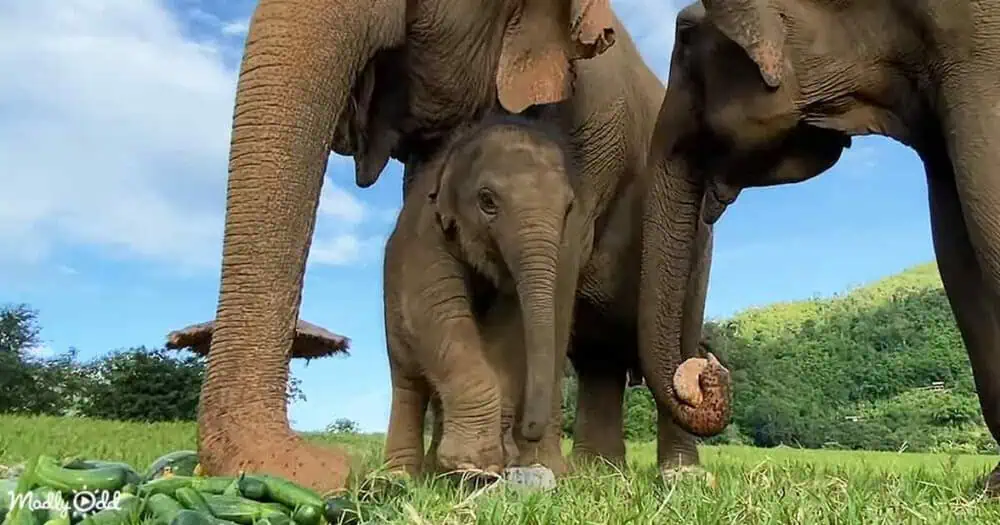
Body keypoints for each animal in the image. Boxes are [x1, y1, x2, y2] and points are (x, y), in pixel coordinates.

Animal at [381, 112, 576, 476]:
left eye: (569, 208)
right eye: (487, 201)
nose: (528, 433)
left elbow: (507, 330)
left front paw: (489, 463)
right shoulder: (427, 238)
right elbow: (438, 313)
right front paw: (473, 464)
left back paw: (435, 472)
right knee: (408, 384)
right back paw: (397, 477)